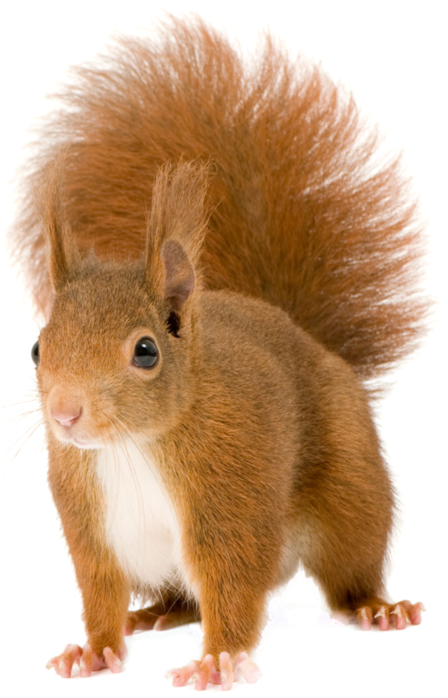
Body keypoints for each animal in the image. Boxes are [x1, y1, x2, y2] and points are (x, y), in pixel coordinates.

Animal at [3, 8, 436, 691]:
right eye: (39, 349)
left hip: (350, 490)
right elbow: (98, 592)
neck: (133, 447)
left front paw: (220, 661)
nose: (66, 415)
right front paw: (94, 652)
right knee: (179, 595)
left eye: (146, 351)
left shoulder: (230, 494)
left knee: (348, 563)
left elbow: (232, 582)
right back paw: (154, 614)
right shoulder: (92, 528)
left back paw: (376, 607)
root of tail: (297, 331)